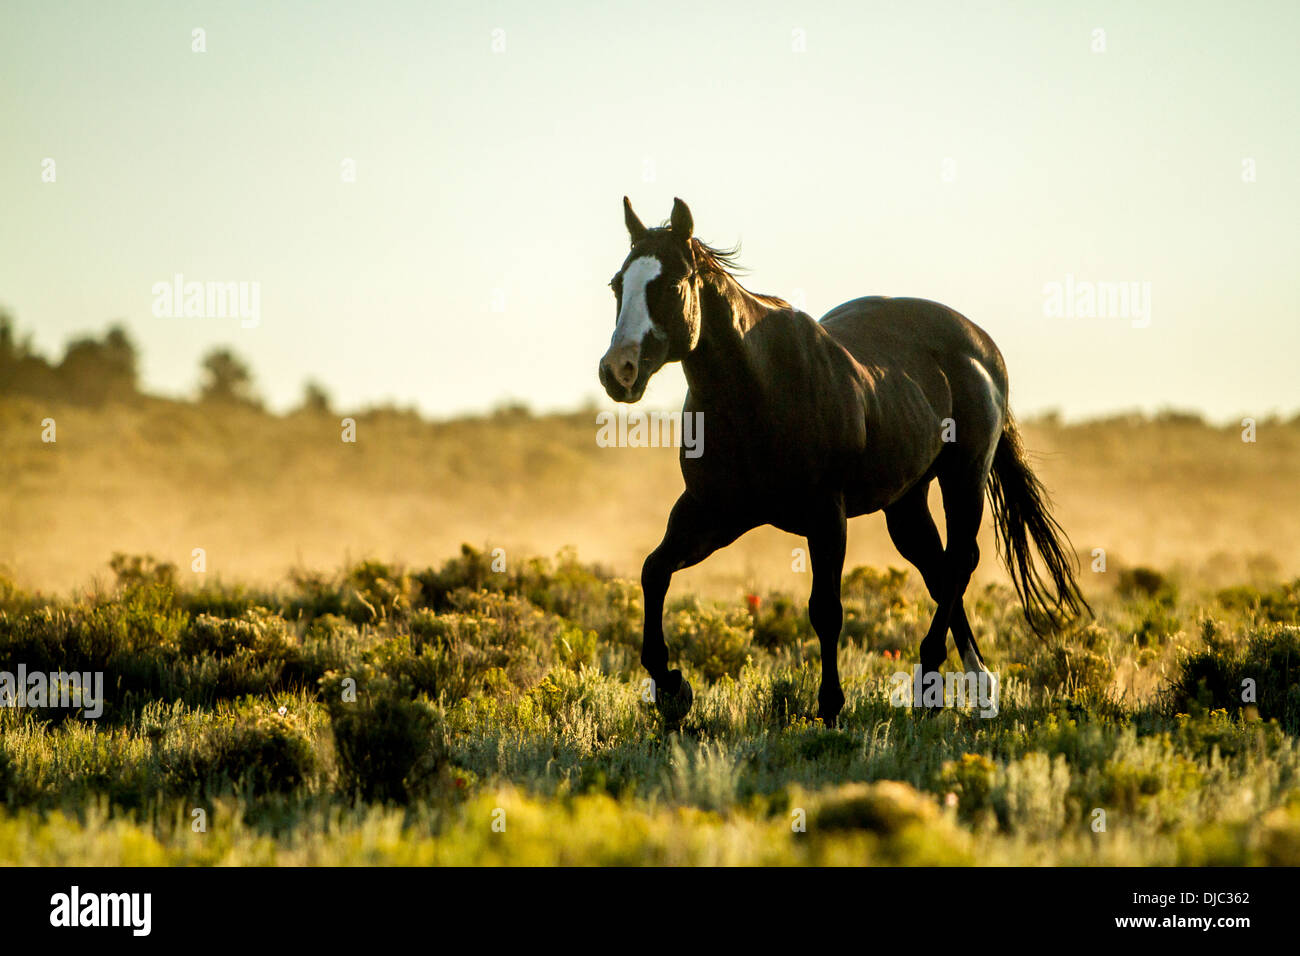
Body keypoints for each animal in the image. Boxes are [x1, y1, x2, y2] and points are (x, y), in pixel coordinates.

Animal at [598, 197, 1089, 726]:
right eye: (617, 285)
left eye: (669, 284)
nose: (618, 370)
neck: (759, 387)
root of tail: (983, 348)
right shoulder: (712, 513)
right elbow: (655, 571)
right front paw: (672, 687)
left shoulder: (825, 515)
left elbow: (826, 610)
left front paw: (831, 706)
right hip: (906, 502)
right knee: (939, 570)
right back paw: (958, 687)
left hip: (965, 477)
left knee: (959, 562)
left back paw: (945, 680)